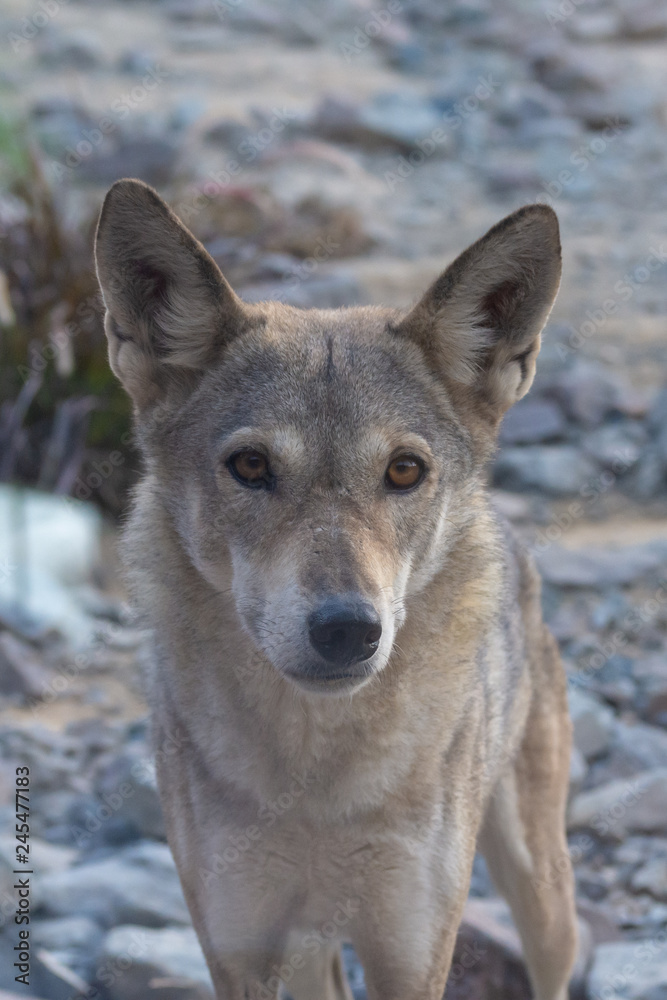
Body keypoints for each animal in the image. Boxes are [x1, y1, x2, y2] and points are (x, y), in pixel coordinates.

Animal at [95, 178, 577, 1000]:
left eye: (404, 470)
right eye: (251, 466)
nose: (348, 629)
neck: (317, 782)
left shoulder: (411, 956)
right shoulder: (238, 949)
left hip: (540, 895)